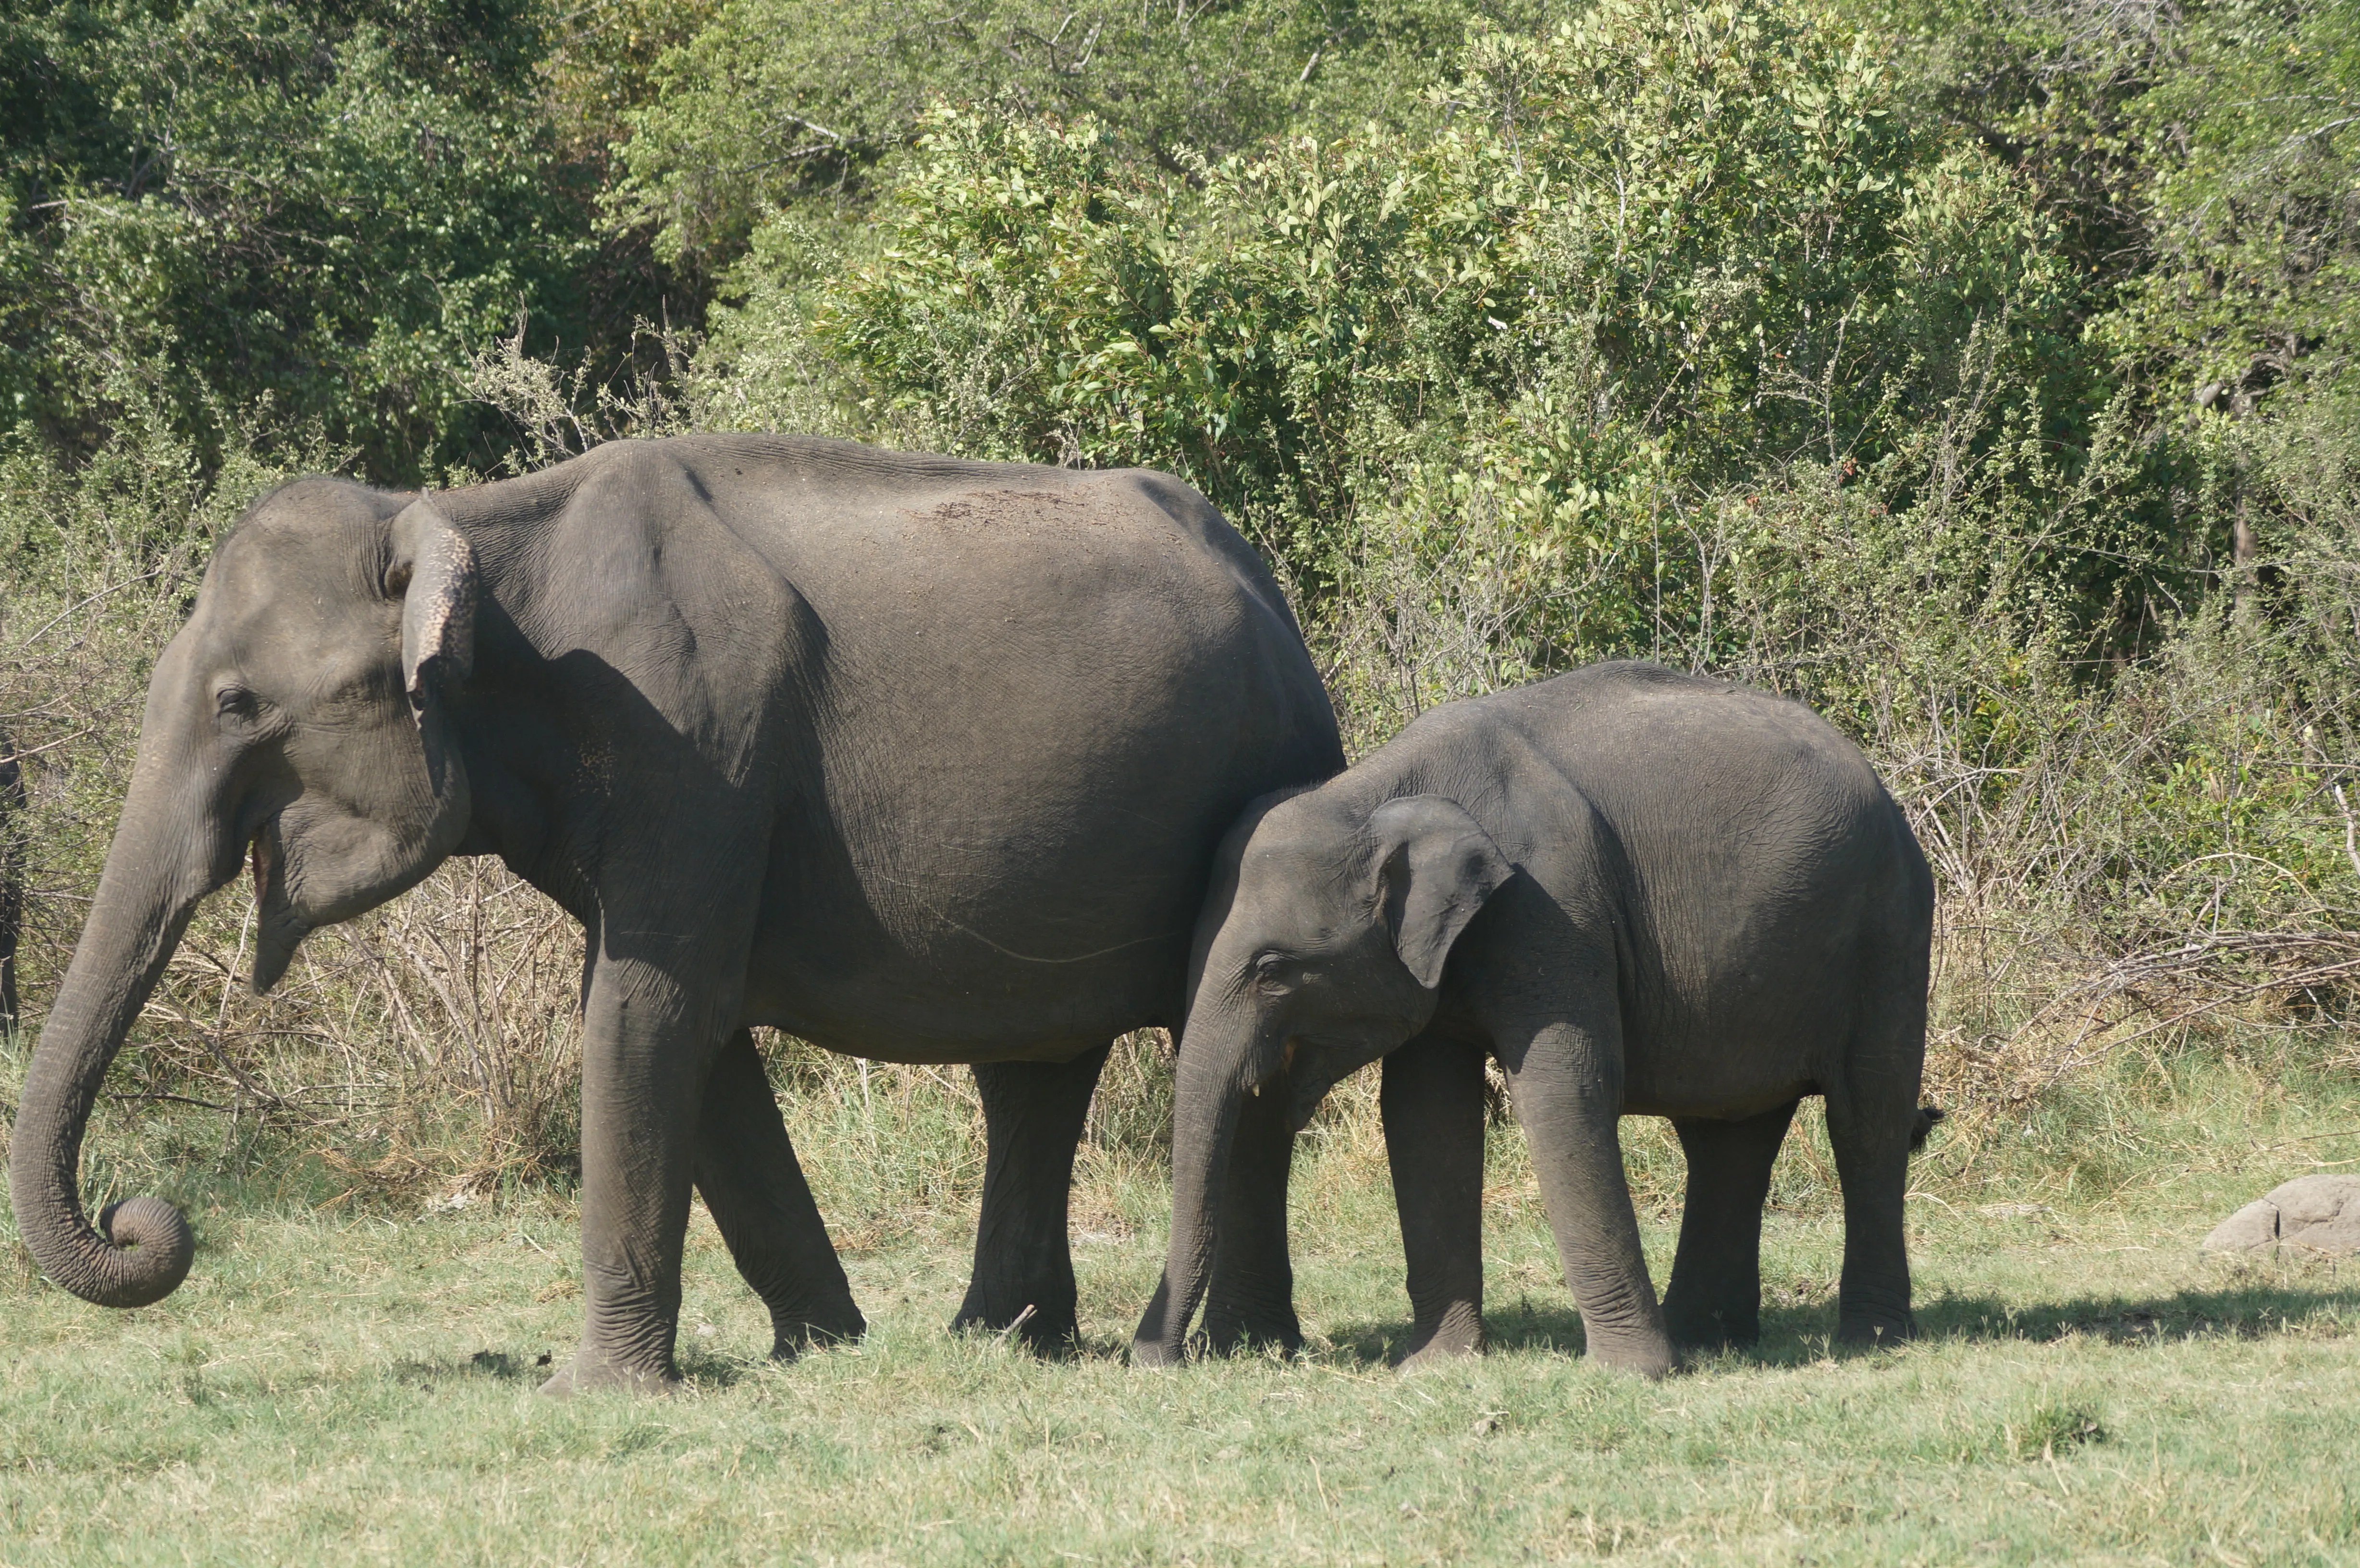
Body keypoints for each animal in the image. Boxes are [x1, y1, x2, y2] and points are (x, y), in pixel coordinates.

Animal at [8, 433, 1342, 1393]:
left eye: (236, 703)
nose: (141, 1220)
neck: (466, 521)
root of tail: (1271, 594)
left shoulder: (692, 751)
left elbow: (644, 1013)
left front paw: (587, 1393)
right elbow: (683, 1030)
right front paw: (822, 1349)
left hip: (1264, 769)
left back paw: (1238, 1350)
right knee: (1034, 1070)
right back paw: (1002, 1340)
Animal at [1132, 661, 1935, 1377]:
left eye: (1273, 970)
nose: (1153, 1361)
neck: (1375, 792)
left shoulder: (1552, 906)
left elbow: (1562, 1090)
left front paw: (1631, 1375)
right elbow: (1425, 1114)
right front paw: (1439, 1368)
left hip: (1890, 929)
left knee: (1867, 1120)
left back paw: (1869, 1340)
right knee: (1729, 1137)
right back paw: (1710, 1341)